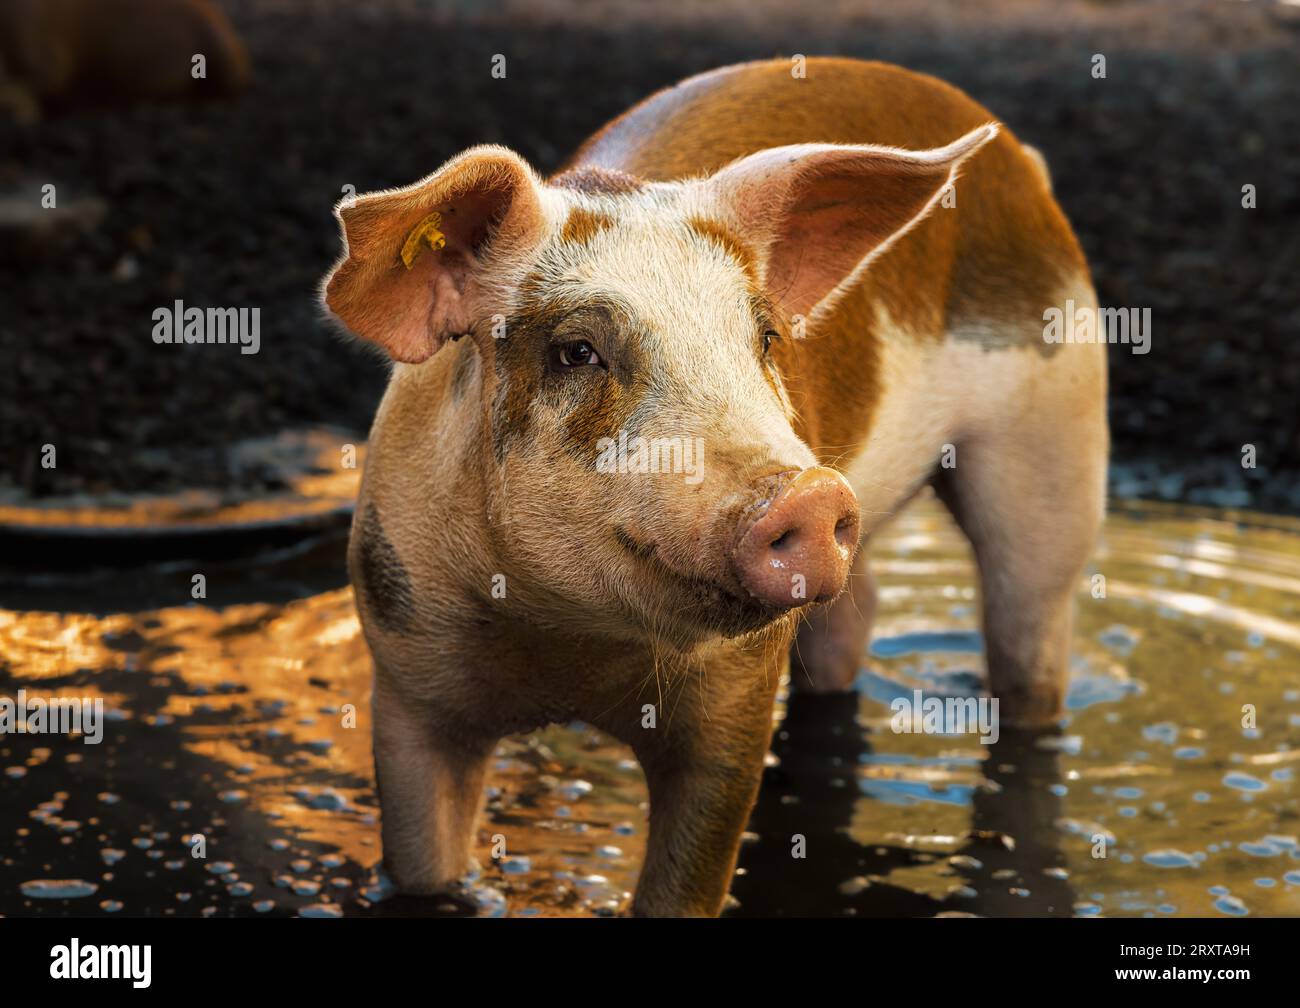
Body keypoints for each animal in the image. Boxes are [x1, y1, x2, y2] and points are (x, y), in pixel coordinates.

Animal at [321, 57, 1107, 917]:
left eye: (763, 340)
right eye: (576, 352)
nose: (810, 493)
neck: (568, 654)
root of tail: (1019, 164)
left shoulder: (734, 705)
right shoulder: (404, 671)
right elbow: (422, 861)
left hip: (1060, 429)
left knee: (1030, 626)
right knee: (855, 615)